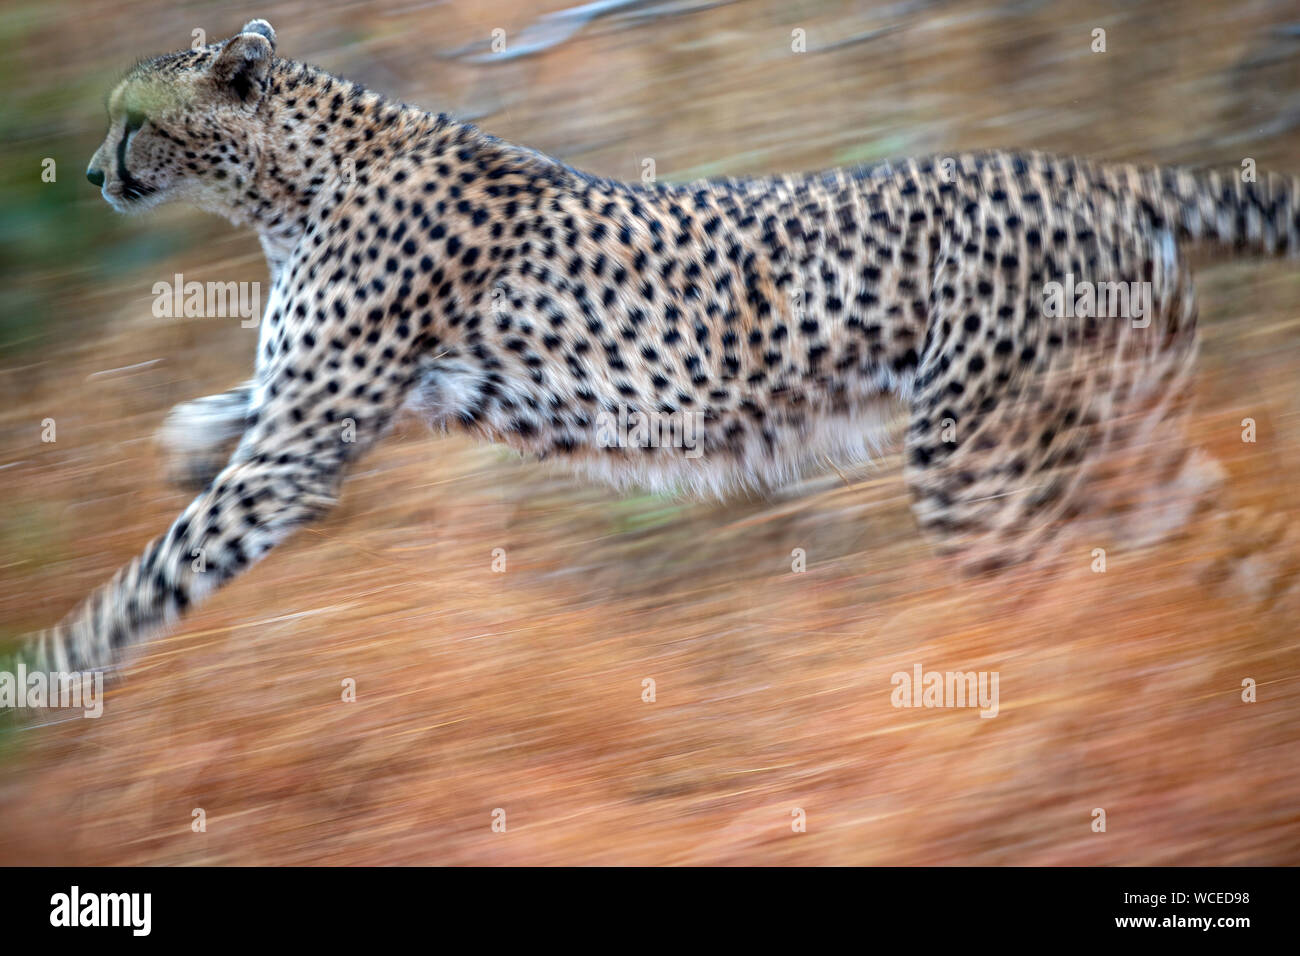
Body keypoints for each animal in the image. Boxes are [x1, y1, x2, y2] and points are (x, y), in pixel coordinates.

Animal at [16, 18, 1300, 681]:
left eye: (135, 119)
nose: (91, 173)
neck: (290, 179)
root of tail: (1098, 172)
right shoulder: (336, 407)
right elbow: (216, 419)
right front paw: (181, 446)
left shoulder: (304, 439)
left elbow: (156, 570)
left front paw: (46, 675)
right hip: (1120, 441)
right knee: (1241, 548)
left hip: (982, 464)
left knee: (1041, 606)